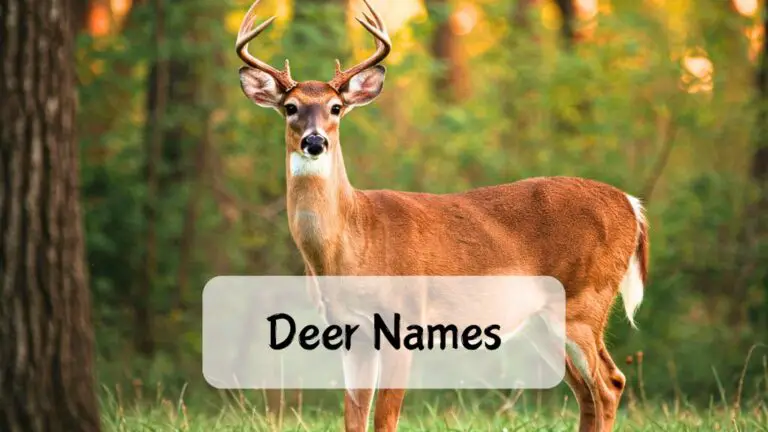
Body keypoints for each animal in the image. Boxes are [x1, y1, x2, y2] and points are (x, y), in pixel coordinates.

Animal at [235, 1, 649, 431]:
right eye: (290, 107)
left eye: (336, 107)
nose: (315, 141)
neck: (353, 244)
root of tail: (631, 205)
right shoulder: (350, 332)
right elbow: (354, 417)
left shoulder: (403, 315)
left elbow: (385, 417)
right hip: (542, 319)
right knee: (586, 391)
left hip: (585, 298)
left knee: (609, 383)